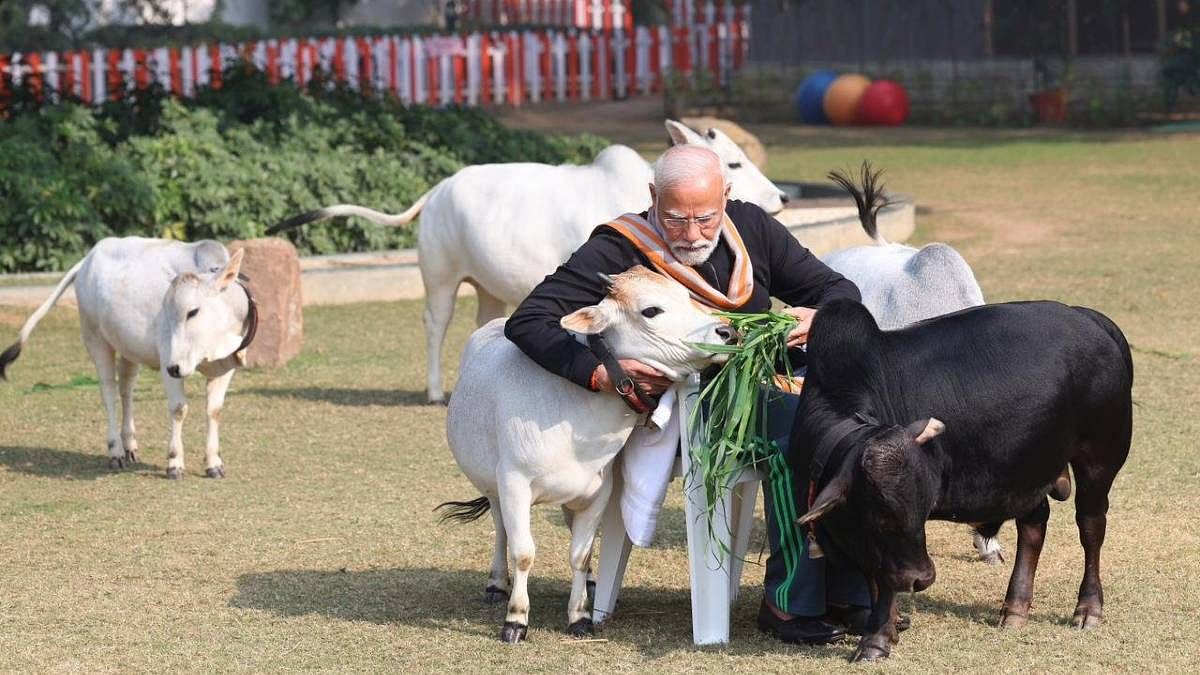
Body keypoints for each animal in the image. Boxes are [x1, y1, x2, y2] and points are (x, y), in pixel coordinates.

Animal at [0, 237, 257, 479]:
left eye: (192, 311)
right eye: (166, 311)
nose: (174, 368)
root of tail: (88, 259)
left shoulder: (225, 367)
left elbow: (214, 410)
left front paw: (214, 463)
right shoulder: (168, 360)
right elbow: (178, 409)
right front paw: (174, 463)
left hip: (128, 349)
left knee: (127, 389)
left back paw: (129, 444)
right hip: (96, 339)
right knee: (109, 393)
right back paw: (115, 451)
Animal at [267, 120, 785, 404]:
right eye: (733, 162)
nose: (781, 197)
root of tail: (436, 190)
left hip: (487, 288)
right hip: (440, 277)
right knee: (435, 324)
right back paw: (435, 392)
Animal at [436, 266, 736, 643]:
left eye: (687, 296)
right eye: (651, 310)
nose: (726, 331)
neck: (572, 413)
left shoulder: (597, 493)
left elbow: (579, 554)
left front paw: (579, 615)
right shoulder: (514, 484)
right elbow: (523, 553)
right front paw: (516, 620)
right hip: (492, 487)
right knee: (501, 529)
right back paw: (496, 583)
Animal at [791, 298, 1132, 661]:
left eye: (922, 509)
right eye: (881, 515)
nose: (923, 579)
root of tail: (1086, 315)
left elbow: (886, 582)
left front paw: (875, 640)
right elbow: (876, 576)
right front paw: (890, 626)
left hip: (1098, 462)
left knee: (1091, 527)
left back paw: (1088, 608)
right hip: (1028, 469)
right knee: (1034, 526)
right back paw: (1015, 608)